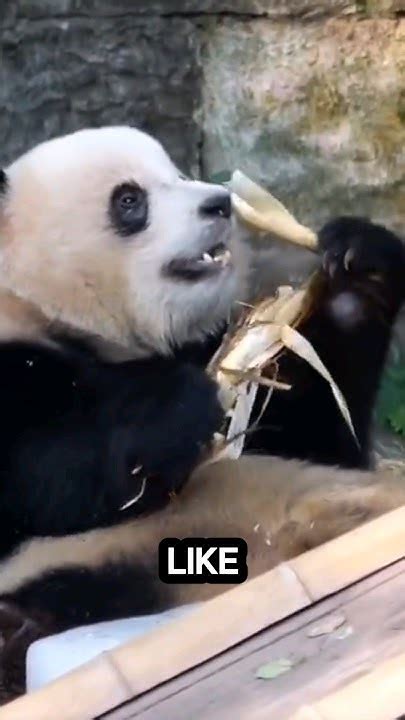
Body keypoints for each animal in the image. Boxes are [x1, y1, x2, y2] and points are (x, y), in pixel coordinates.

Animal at [0, 126, 403, 641]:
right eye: (129, 200)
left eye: (177, 172)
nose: (219, 203)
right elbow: (50, 470)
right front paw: (175, 407)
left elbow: (312, 433)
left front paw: (359, 266)